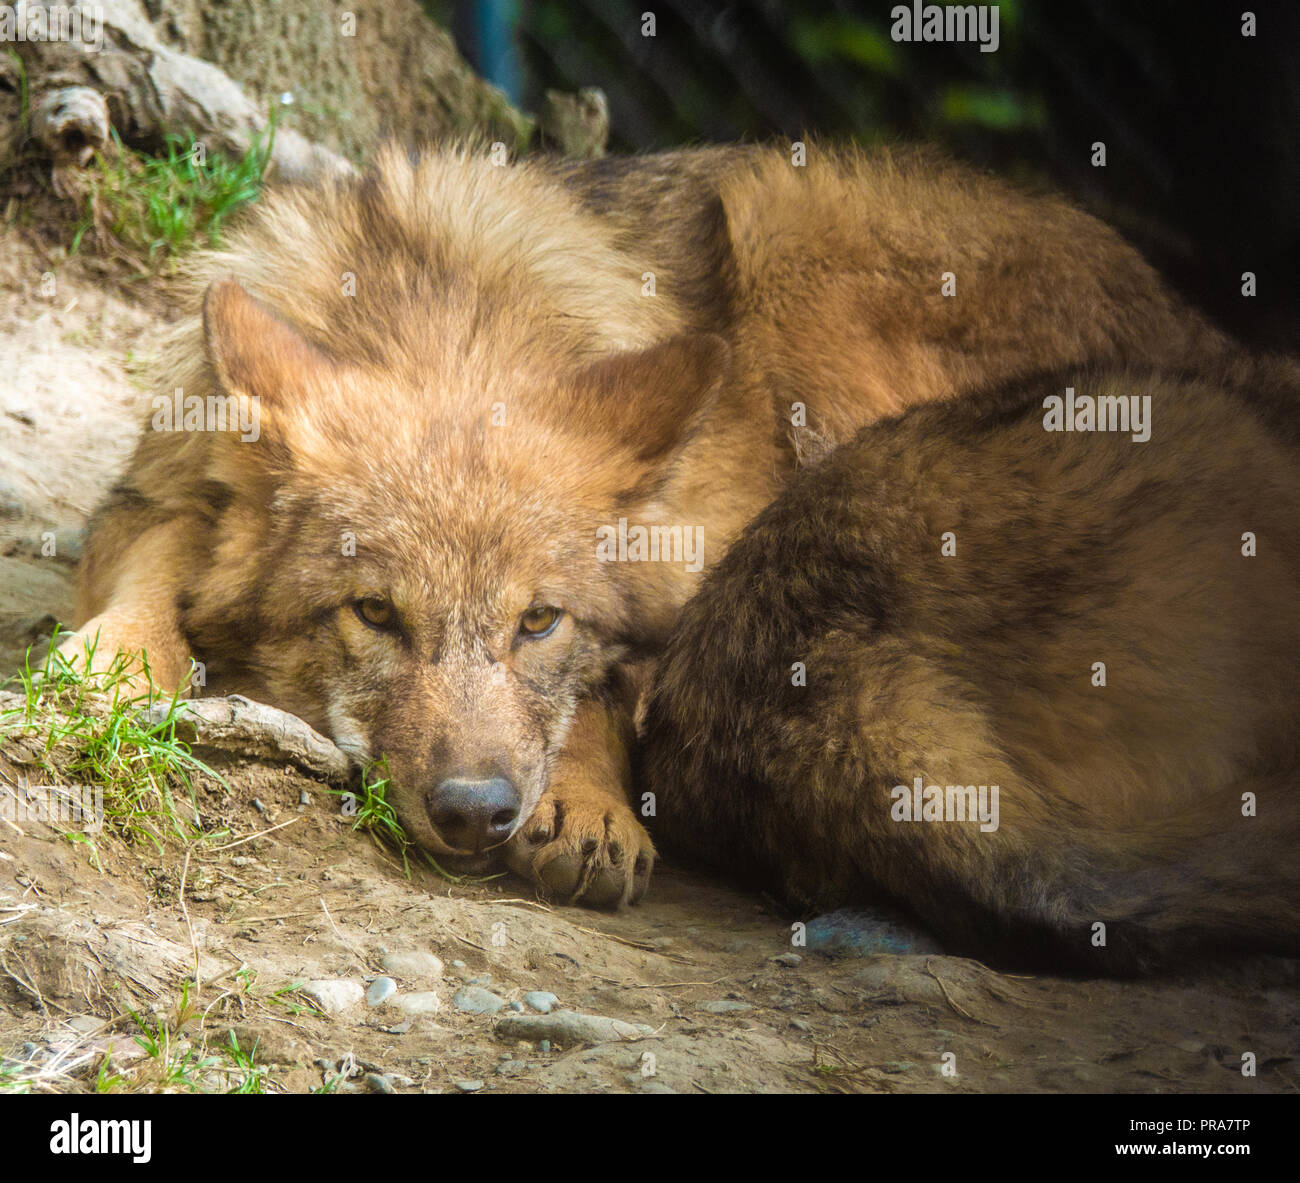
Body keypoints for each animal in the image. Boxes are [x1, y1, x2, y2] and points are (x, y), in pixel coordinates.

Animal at [61, 141, 1226, 908]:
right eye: (375, 615)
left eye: (539, 621)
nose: (477, 810)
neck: (430, 295)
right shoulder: (153, 493)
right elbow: (157, 568)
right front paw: (111, 667)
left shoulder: (700, 556)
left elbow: (619, 678)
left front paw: (588, 803)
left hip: (791, 226)